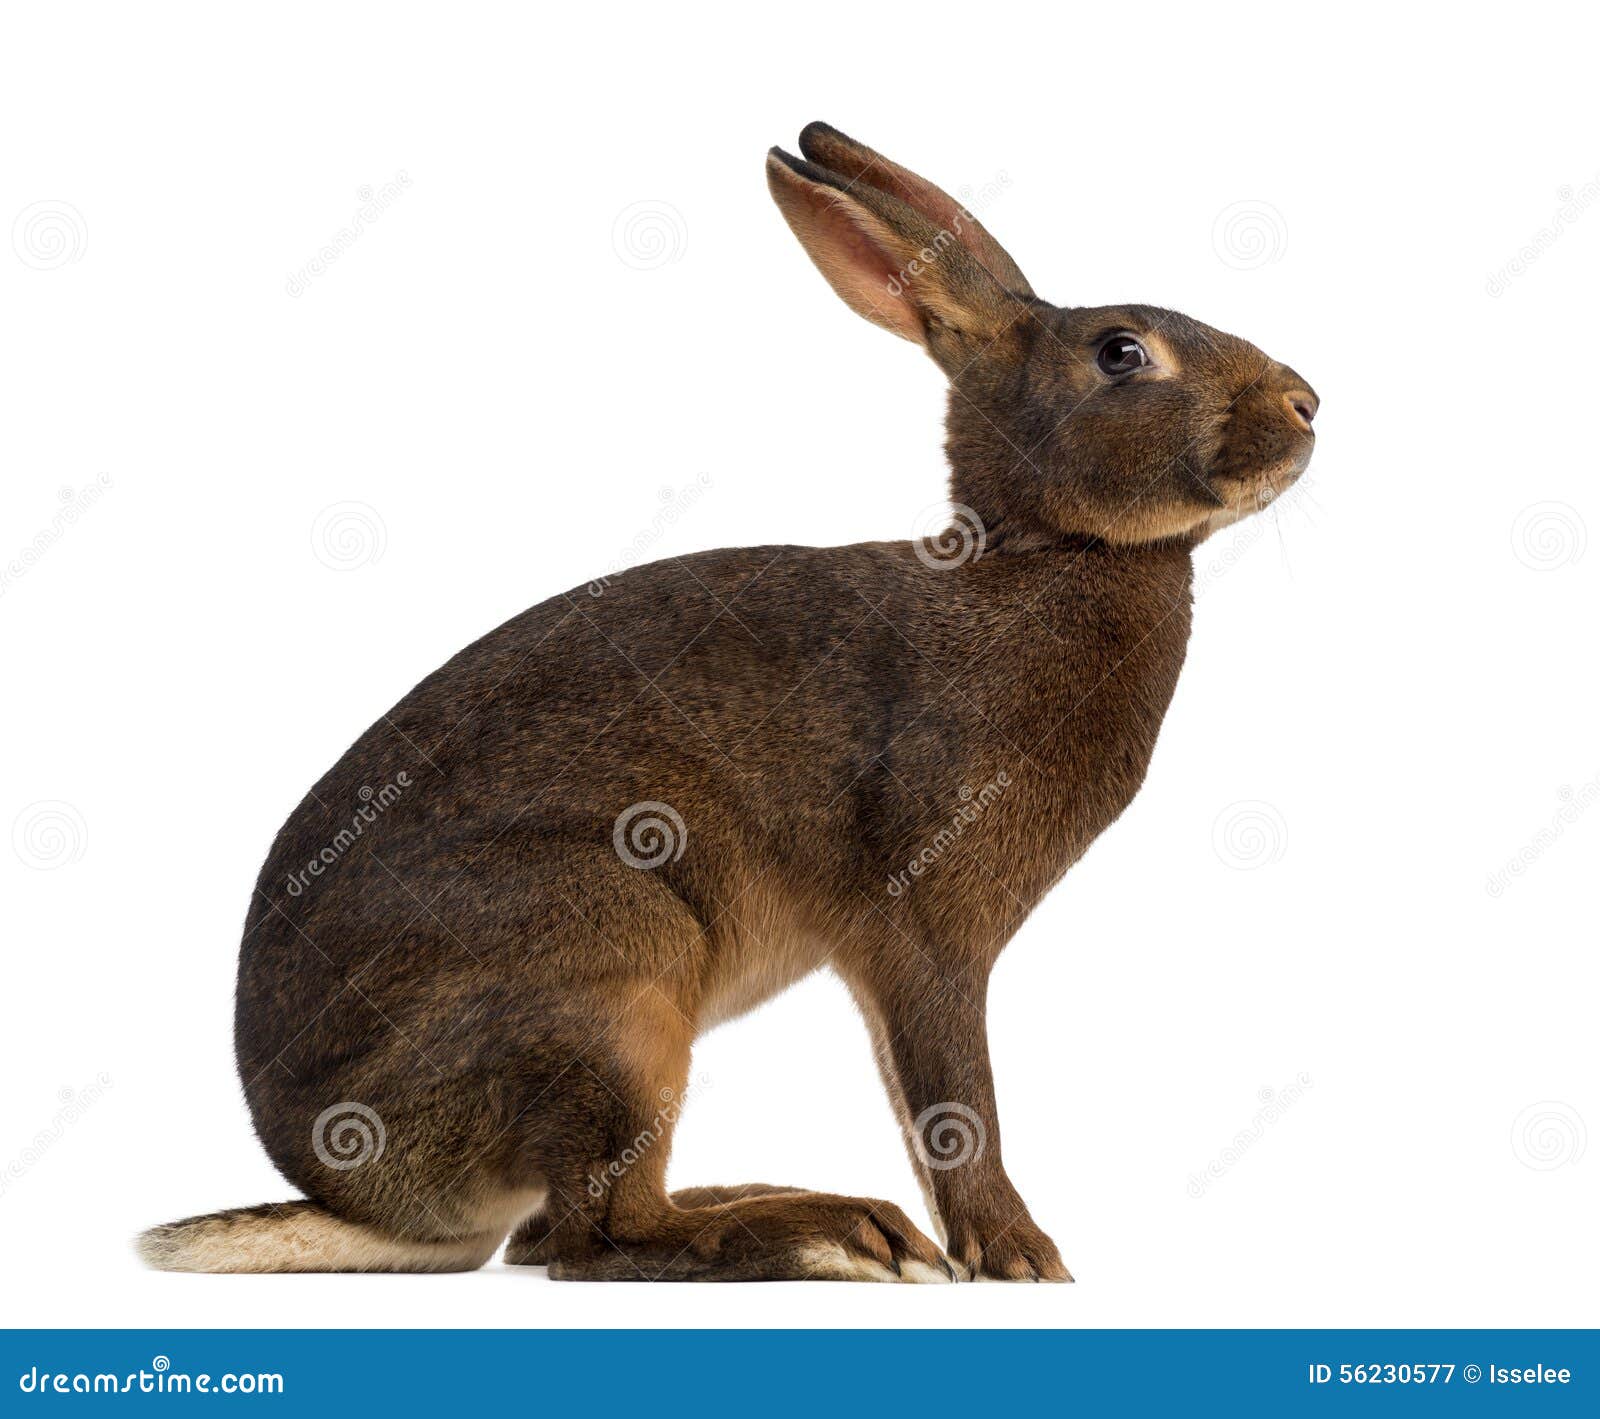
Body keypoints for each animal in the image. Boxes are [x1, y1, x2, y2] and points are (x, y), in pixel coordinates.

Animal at [138, 121, 1316, 1283]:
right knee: (599, 1237)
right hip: (615, 978)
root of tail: (368, 1199)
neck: (1045, 552)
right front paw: (1021, 1257)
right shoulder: (921, 926)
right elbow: (951, 1096)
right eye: (1122, 351)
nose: (1307, 404)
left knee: (556, 1234)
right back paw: (828, 1232)